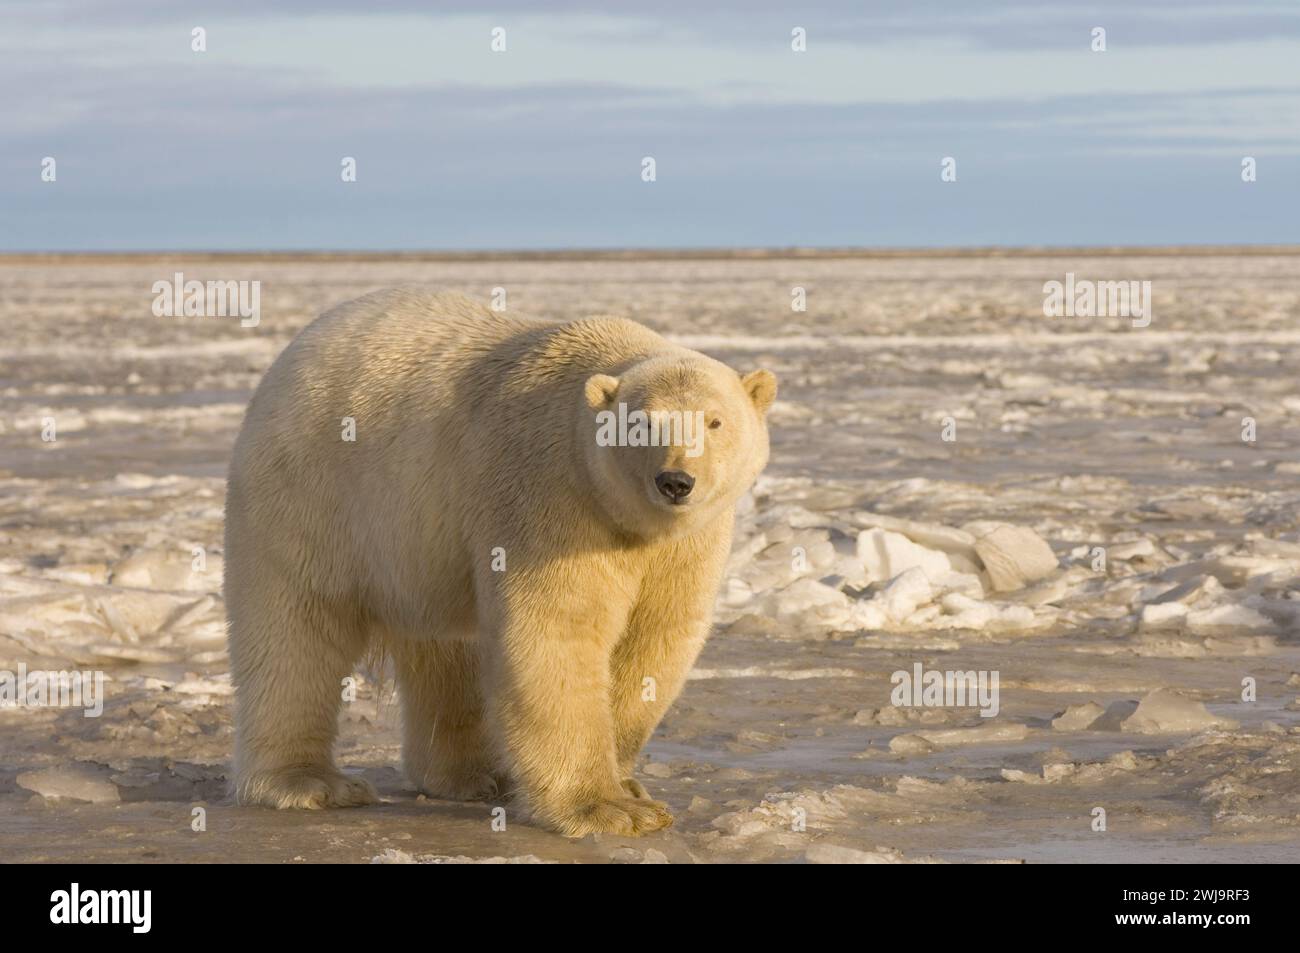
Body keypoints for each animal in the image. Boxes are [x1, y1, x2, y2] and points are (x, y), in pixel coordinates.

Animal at [224, 289, 776, 836]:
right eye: (641, 424)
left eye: (714, 421)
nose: (675, 481)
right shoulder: (551, 496)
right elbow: (556, 629)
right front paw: (609, 808)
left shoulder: (689, 541)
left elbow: (656, 637)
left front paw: (630, 784)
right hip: (312, 494)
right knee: (296, 632)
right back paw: (310, 783)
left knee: (448, 650)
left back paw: (472, 775)